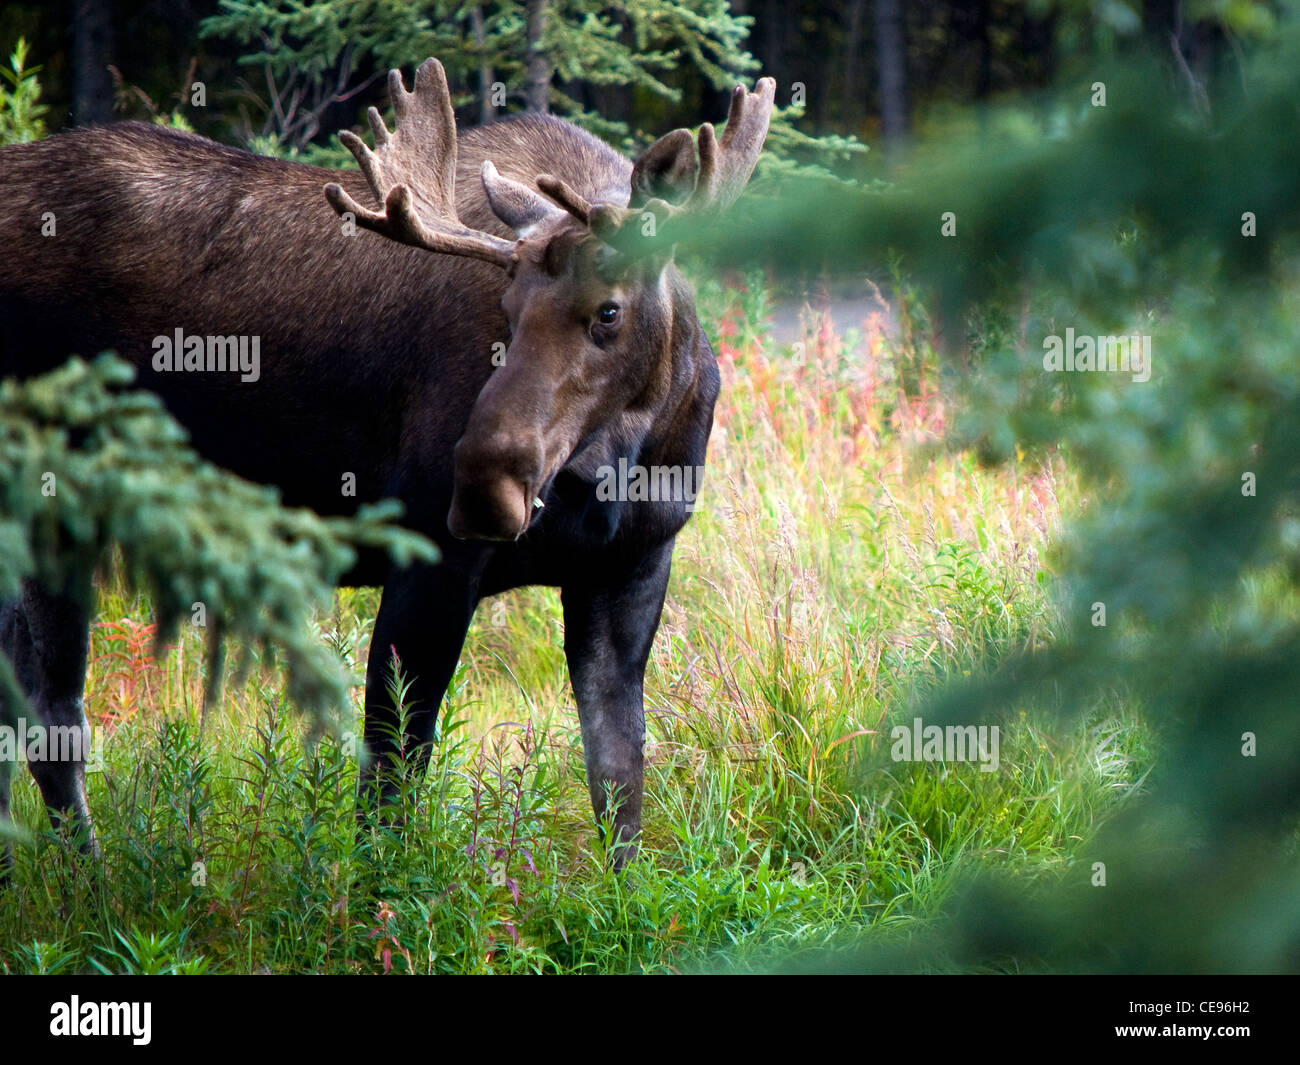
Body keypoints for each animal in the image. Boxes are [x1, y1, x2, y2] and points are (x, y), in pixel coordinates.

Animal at [0, 57, 775, 875]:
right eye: (506, 310)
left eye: (609, 310)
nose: (485, 482)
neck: (624, 460)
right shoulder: (431, 554)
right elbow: (392, 767)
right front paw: (379, 895)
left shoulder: (635, 561)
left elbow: (619, 774)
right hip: (56, 497)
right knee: (54, 715)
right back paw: (87, 877)